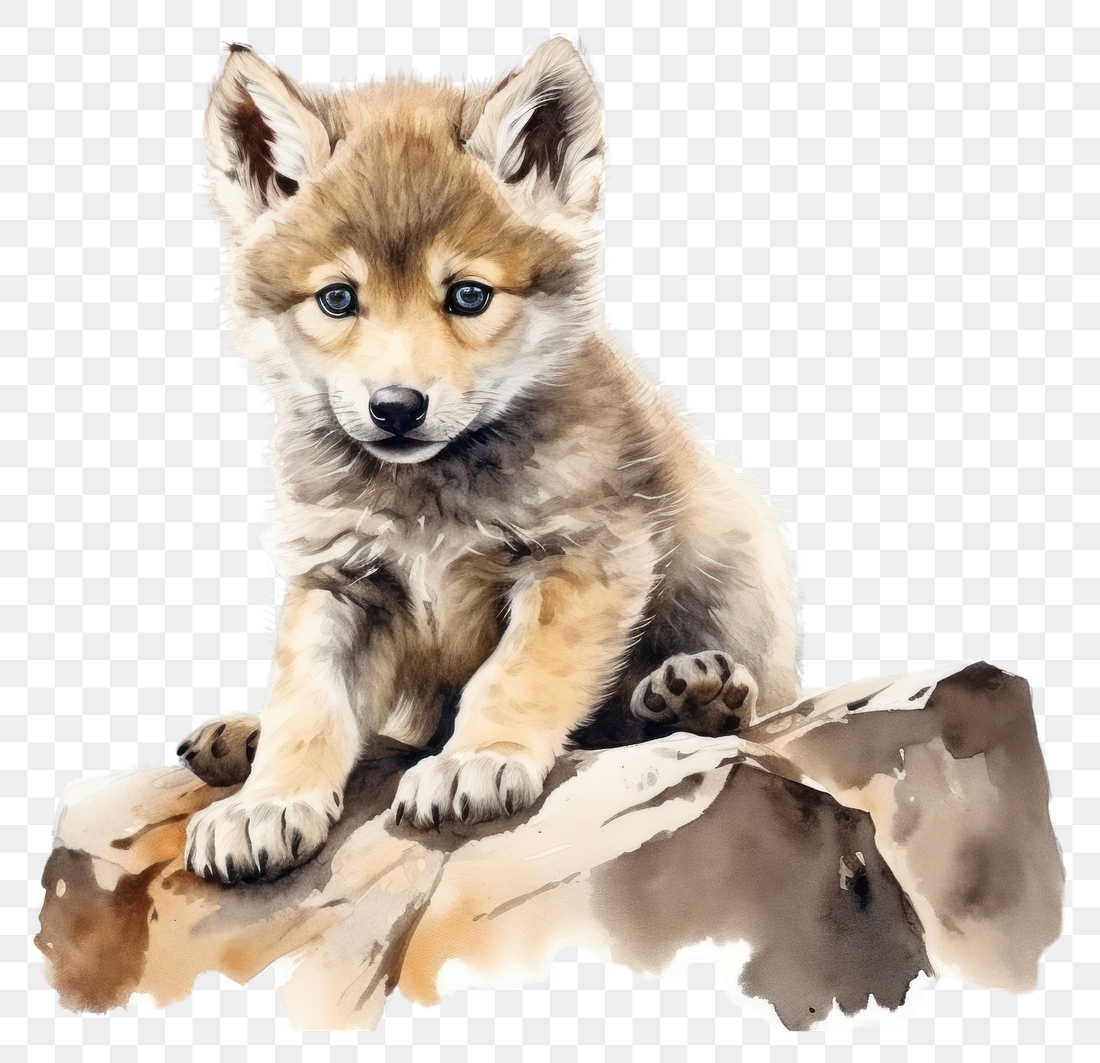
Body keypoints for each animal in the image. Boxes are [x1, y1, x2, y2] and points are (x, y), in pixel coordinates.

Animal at [179, 38, 802, 884]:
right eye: (338, 299)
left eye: (469, 295)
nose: (396, 407)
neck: (428, 497)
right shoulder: (339, 579)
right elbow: (309, 705)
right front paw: (267, 802)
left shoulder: (583, 556)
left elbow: (516, 675)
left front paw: (475, 759)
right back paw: (240, 738)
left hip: (734, 576)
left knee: (739, 700)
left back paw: (697, 695)